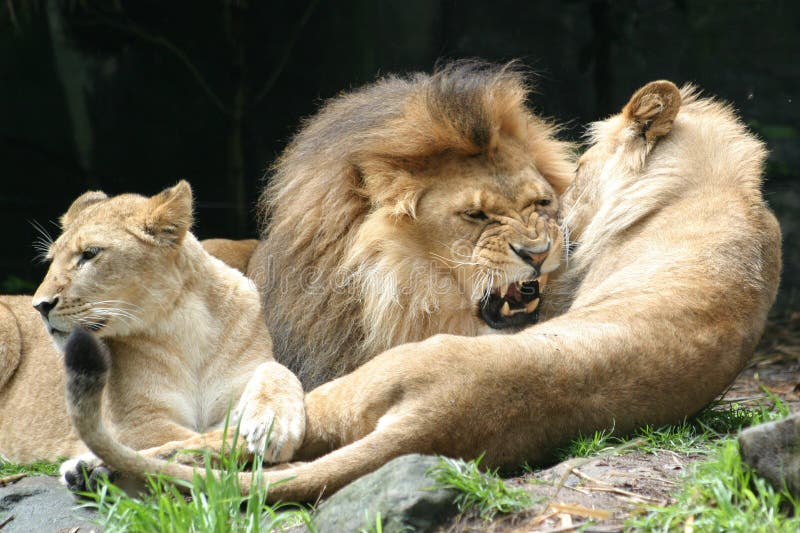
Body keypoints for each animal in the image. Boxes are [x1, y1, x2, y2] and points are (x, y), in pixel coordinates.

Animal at [15, 181, 305, 485]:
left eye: (90, 253)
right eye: (51, 259)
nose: (40, 306)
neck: (187, 323)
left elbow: (278, 370)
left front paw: (271, 425)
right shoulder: (139, 421)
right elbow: (197, 441)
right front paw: (96, 465)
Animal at [64, 76, 781, 504]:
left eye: (561, 185)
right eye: (481, 215)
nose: (542, 247)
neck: (720, 189)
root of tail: (440, 421)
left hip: (355, 384)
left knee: (222, 441)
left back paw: (93, 467)